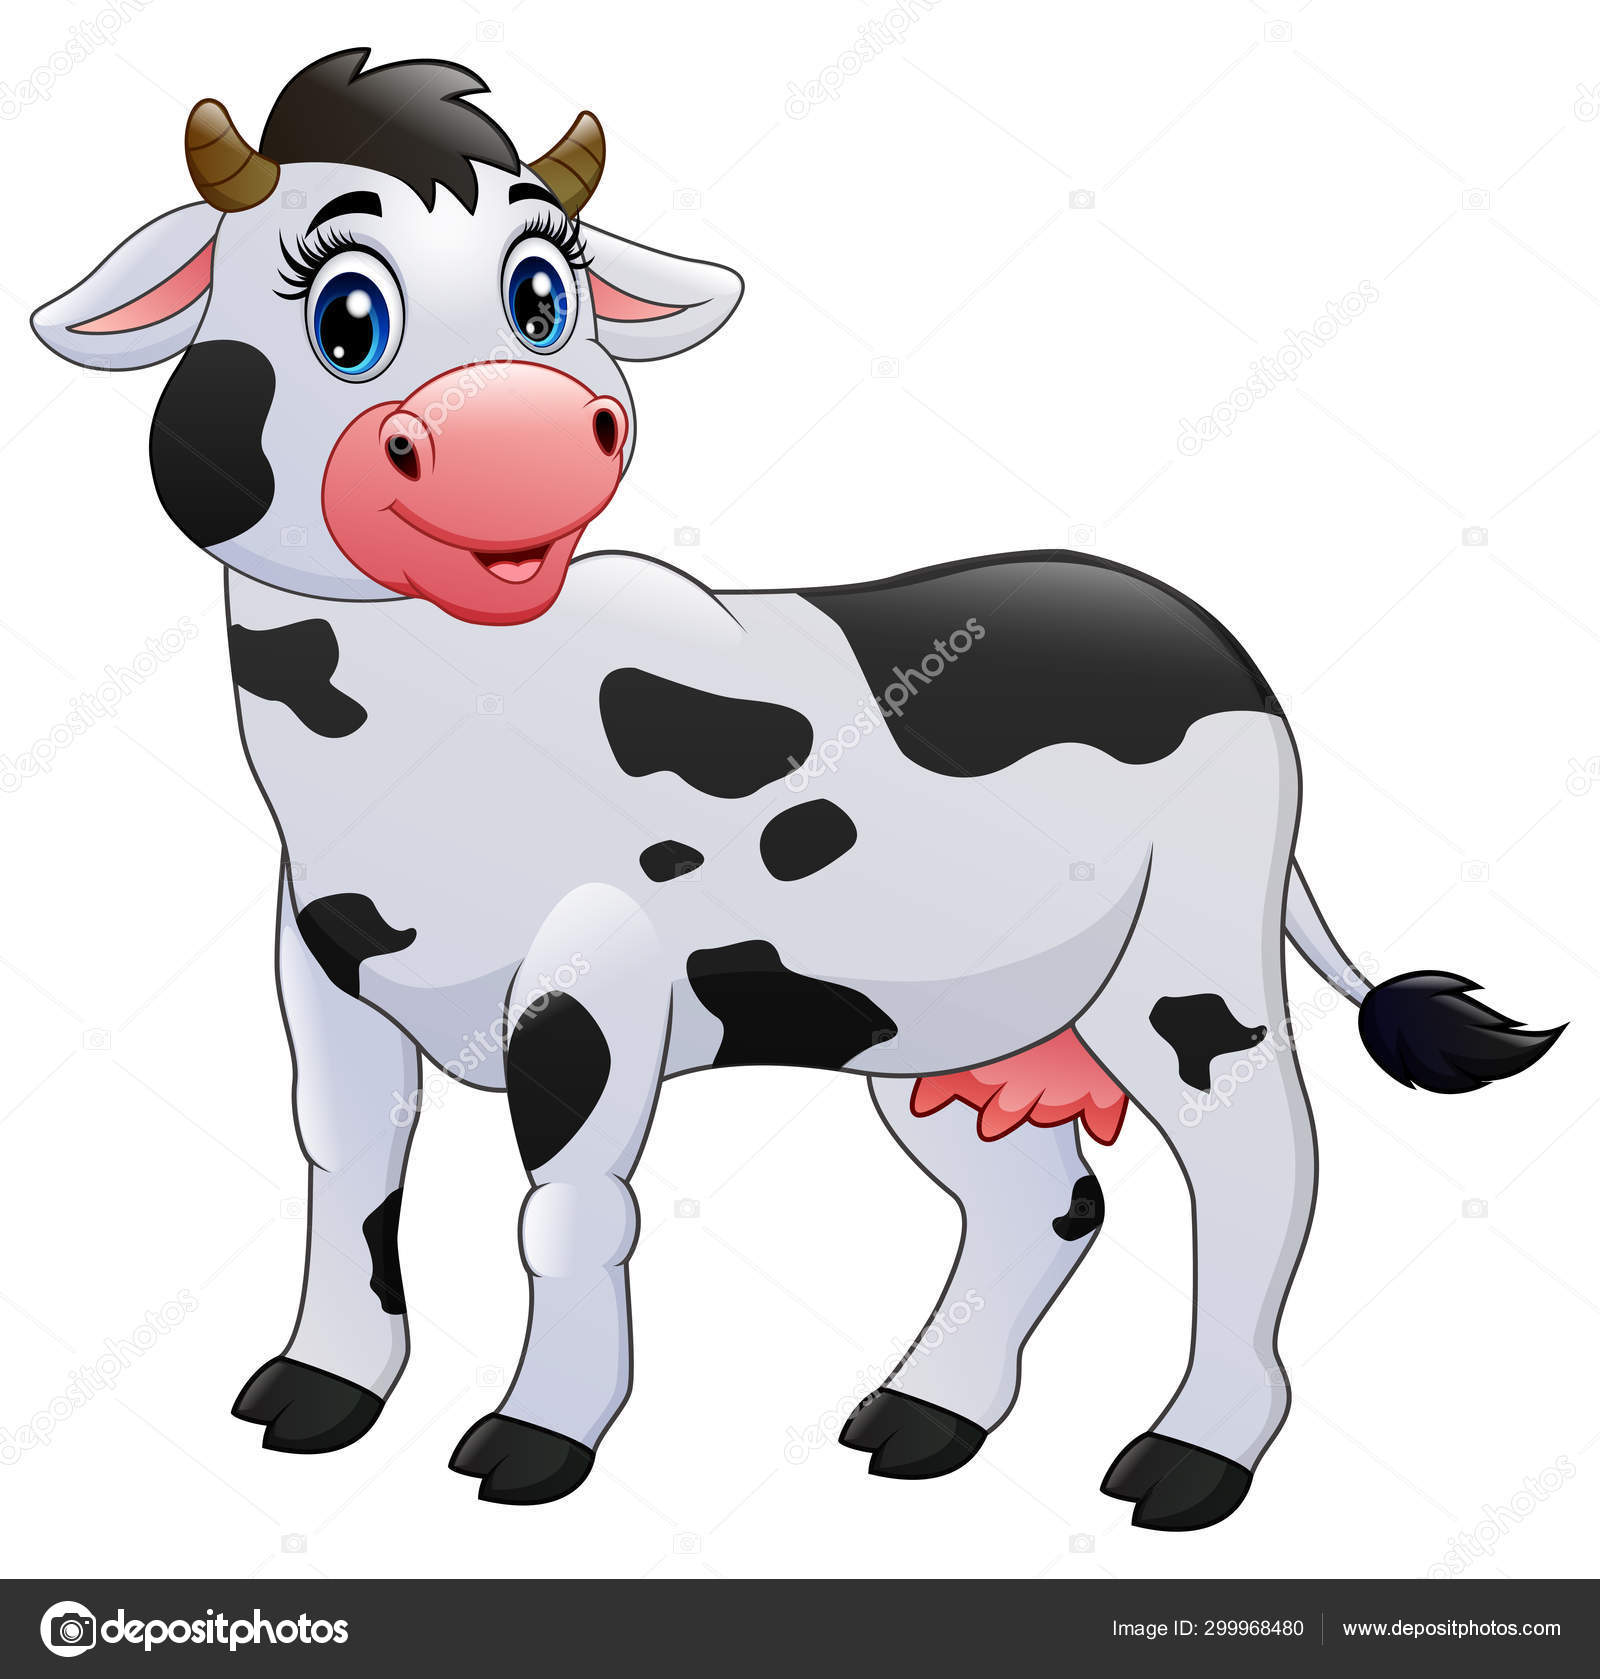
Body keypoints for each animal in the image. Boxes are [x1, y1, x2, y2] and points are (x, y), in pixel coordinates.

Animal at [33, 49, 1562, 1529]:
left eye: (543, 296)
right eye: (345, 315)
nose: (532, 430)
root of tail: (1223, 654)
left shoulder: (596, 974)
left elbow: (566, 1202)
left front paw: (529, 1446)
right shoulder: (321, 969)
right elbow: (349, 1170)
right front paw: (308, 1397)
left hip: (1192, 957)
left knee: (1261, 1170)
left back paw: (1184, 1466)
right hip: (945, 1021)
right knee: (1045, 1197)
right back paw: (915, 1424)